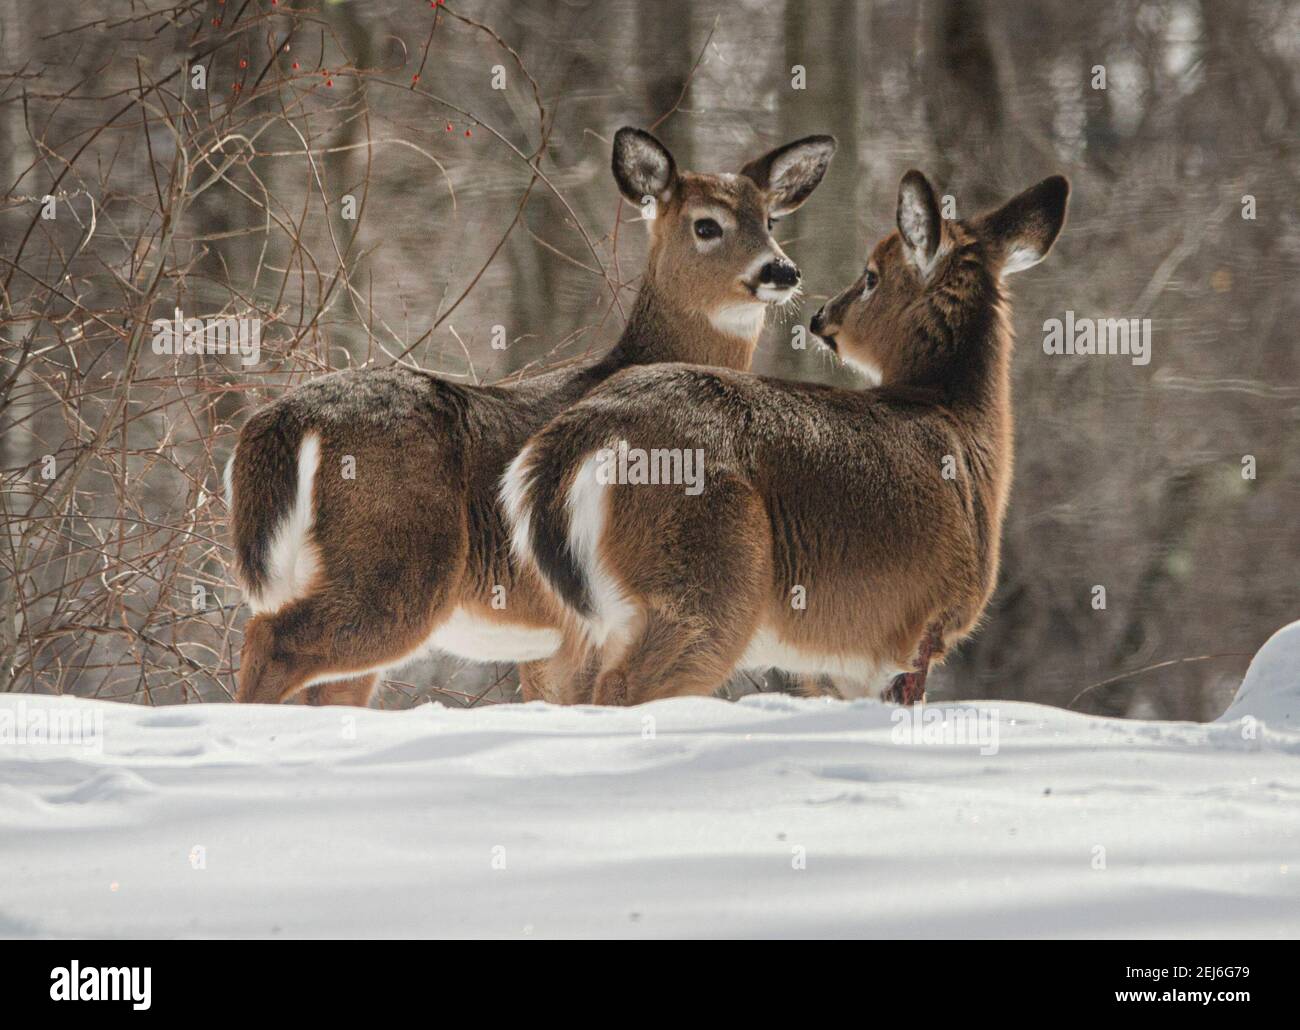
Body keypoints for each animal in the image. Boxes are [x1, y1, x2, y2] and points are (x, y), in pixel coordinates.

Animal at [226, 127, 837, 705]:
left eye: (771, 218)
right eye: (707, 225)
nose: (781, 270)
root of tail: (283, 421)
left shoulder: (551, 642)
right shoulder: (582, 627)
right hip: (398, 563)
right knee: (274, 641)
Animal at [502, 170, 1069, 706]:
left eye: (869, 277)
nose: (822, 319)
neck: (957, 423)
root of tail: (584, 432)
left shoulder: (844, 663)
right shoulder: (920, 628)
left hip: (581, 621)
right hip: (706, 581)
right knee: (624, 687)